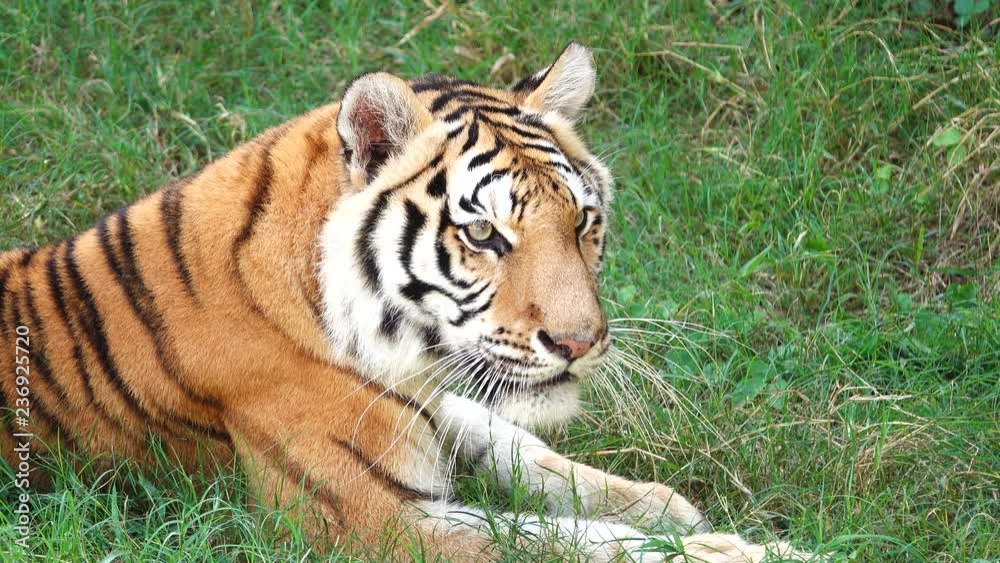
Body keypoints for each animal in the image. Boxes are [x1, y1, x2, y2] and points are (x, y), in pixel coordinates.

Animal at [0, 43, 809, 561]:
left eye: (584, 222)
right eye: (483, 233)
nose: (579, 344)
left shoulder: (439, 394)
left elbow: (515, 444)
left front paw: (663, 505)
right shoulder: (372, 520)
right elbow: (551, 542)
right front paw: (743, 549)